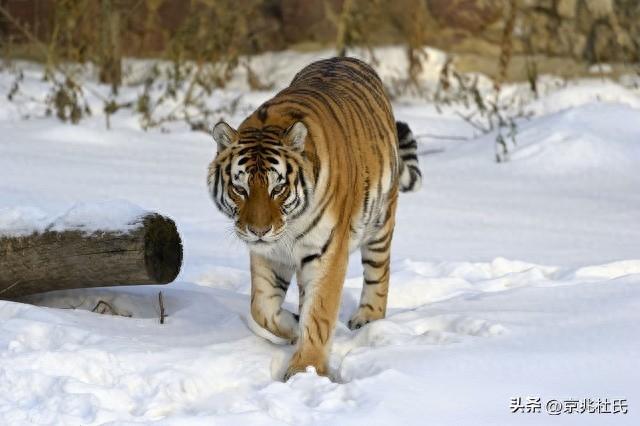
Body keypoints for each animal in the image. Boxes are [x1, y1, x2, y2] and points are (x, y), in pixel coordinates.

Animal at [207, 56, 422, 381]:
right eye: (240, 189)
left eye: (278, 188)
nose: (259, 230)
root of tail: (346, 58)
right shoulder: (269, 253)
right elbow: (262, 307)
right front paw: (295, 327)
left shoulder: (327, 252)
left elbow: (320, 311)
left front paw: (306, 368)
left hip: (381, 222)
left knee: (378, 272)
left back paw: (368, 319)